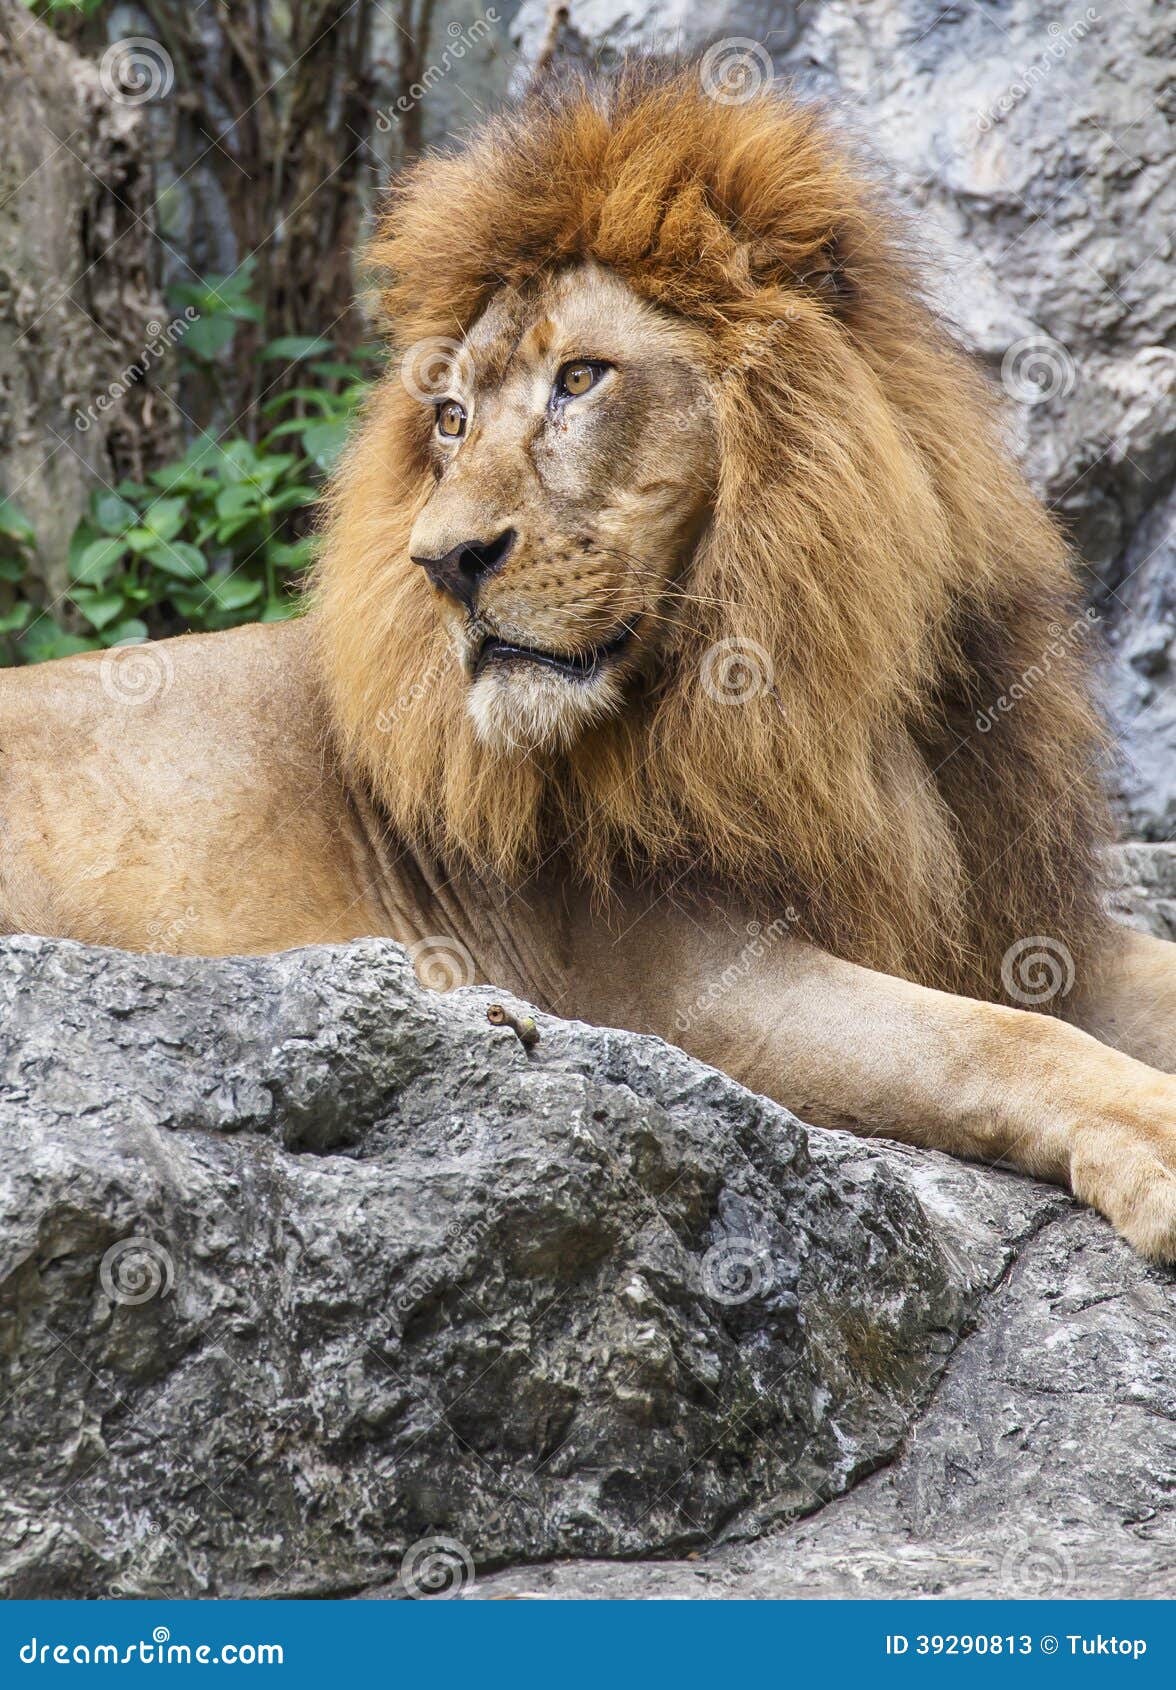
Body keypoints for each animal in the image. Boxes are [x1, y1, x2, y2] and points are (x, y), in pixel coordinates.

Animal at [4, 61, 1176, 1258]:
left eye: (580, 380)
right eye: (451, 418)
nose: (443, 562)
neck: (830, 690)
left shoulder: (1016, 908)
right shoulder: (673, 983)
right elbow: (996, 1040)